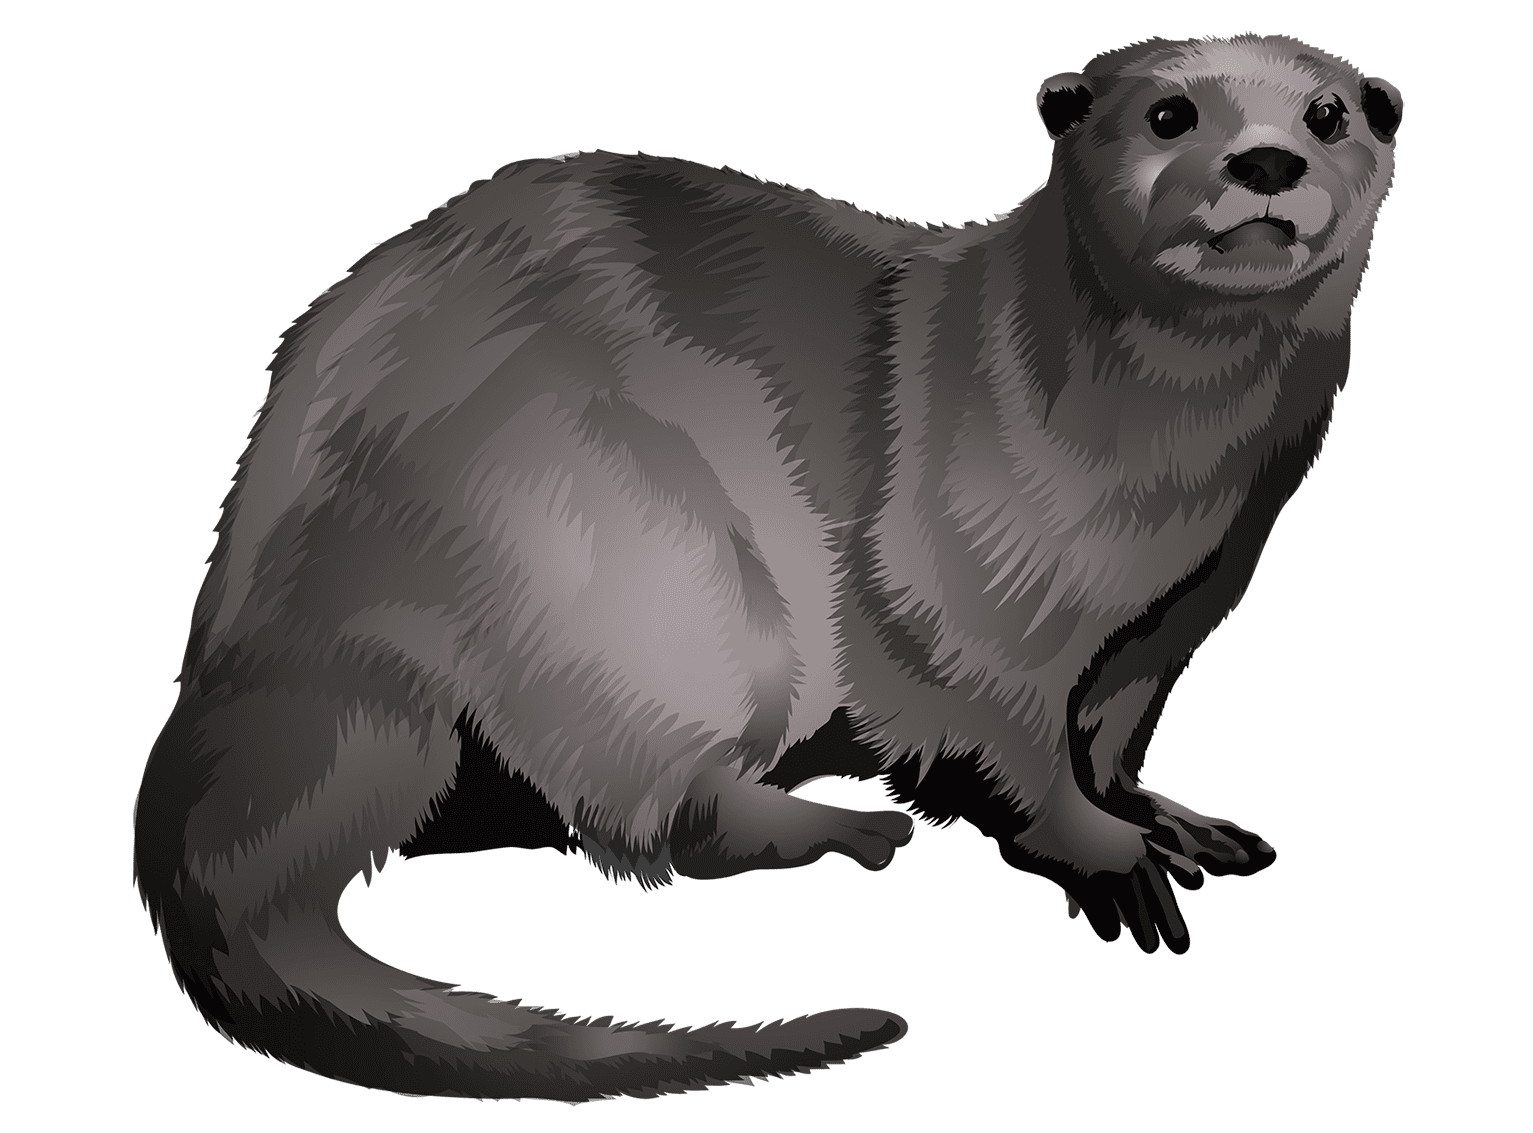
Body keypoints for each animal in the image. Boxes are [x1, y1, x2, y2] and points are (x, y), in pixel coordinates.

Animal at [133, 34, 1402, 1101]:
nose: (1268, 158)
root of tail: (269, 626)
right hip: (633, 562)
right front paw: (1101, 850)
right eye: (1169, 112)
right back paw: (830, 827)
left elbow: (1117, 727)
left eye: (1331, 113)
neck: (1154, 470)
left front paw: (1161, 814)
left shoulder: (1190, 601)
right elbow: (999, 721)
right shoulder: (975, 577)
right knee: (644, 812)